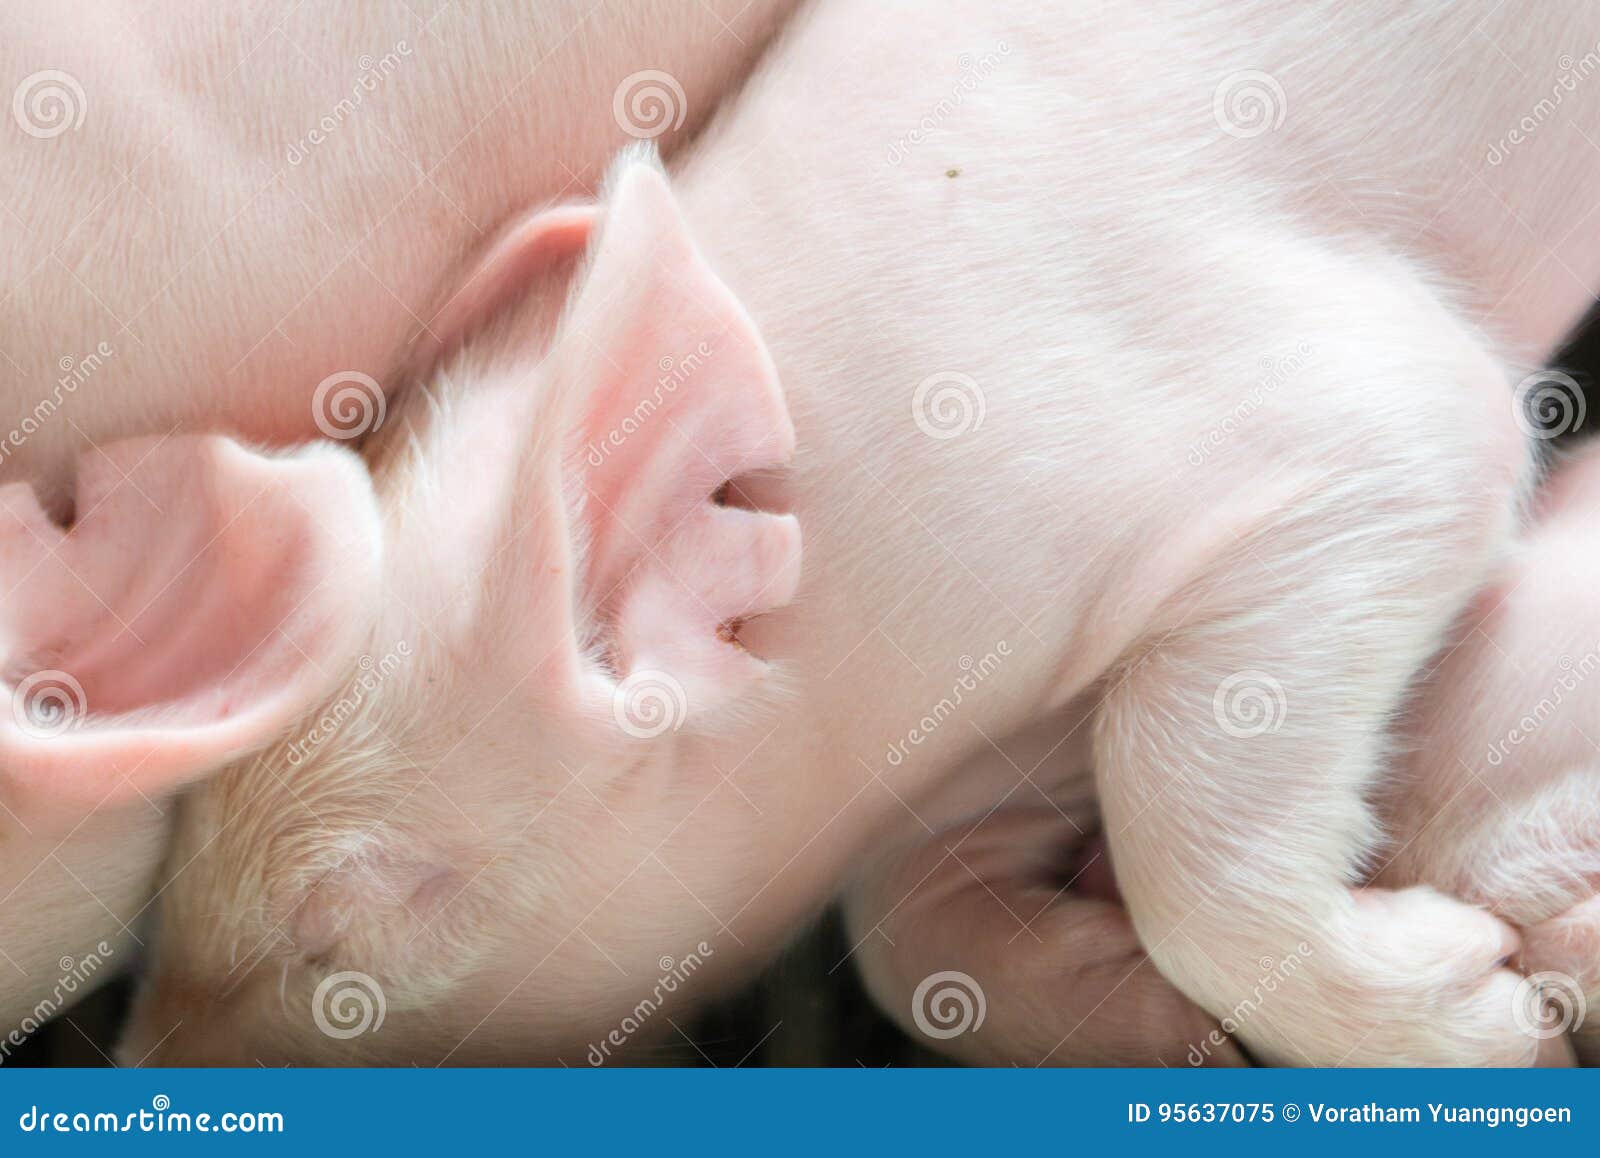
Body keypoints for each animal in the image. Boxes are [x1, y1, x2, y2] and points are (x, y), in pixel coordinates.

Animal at [114, 0, 1600, 1065]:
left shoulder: (1357, 429)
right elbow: (899, 927)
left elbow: (1183, 807)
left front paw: (1494, 1016)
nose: (134, 1062)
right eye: (178, 879)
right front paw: (1145, 1023)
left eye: (344, 926)